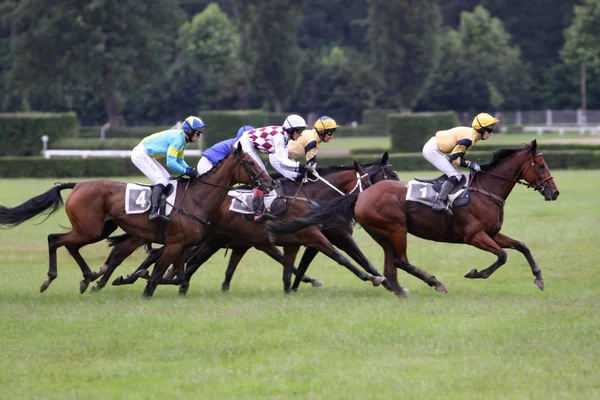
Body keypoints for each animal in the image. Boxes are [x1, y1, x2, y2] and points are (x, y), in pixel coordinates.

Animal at [0, 142, 272, 296]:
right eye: (250, 162)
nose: (269, 183)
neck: (196, 198)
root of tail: (78, 184)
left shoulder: (182, 245)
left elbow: (179, 276)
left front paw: (135, 276)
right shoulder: (174, 244)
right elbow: (158, 276)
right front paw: (140, 282)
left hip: (99, 229)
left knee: (71, 245)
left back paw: (89, 278)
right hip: (89, 229)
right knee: (54, 239)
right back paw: (52, 279)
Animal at [268, 139, 556, 296]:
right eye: (541, 165)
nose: (555, 192)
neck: (485, 191)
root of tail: (361, 196)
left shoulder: (493, 233)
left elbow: (521, 246)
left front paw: (539, 278)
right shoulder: (474, 236)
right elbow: (503, 256)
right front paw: (476, 273)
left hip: (382, 233)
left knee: (390, 264)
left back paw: (398, 289)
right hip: (397, 228)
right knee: (401, 260)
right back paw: (434, 282)